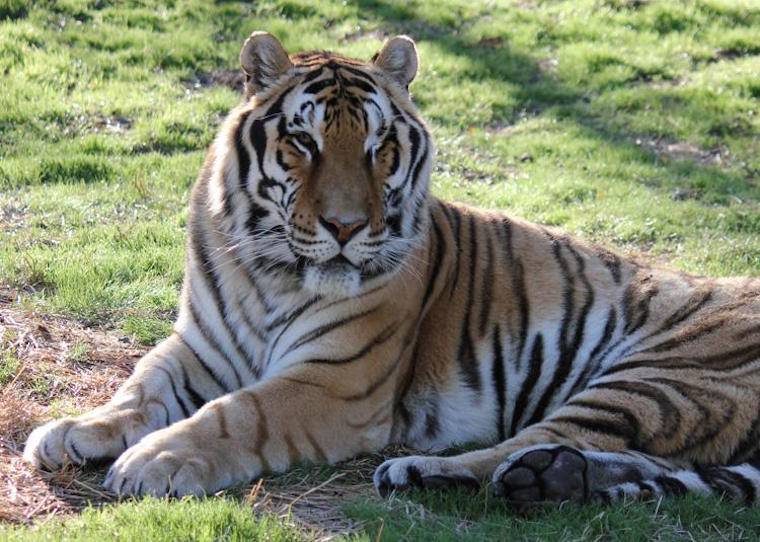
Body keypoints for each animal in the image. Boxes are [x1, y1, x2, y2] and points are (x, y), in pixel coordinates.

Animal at [23, 32, 760, 507]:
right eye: (303, 142)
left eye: (379, 147)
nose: (346, 228)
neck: (268, 270)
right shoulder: (197, 347)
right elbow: (138, 389)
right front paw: (71, 432)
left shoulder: (334, 383)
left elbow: (236, 414)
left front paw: (154, 460)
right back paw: (551, 480)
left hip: (659, 376)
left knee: (530, 445)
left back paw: (428, 473)